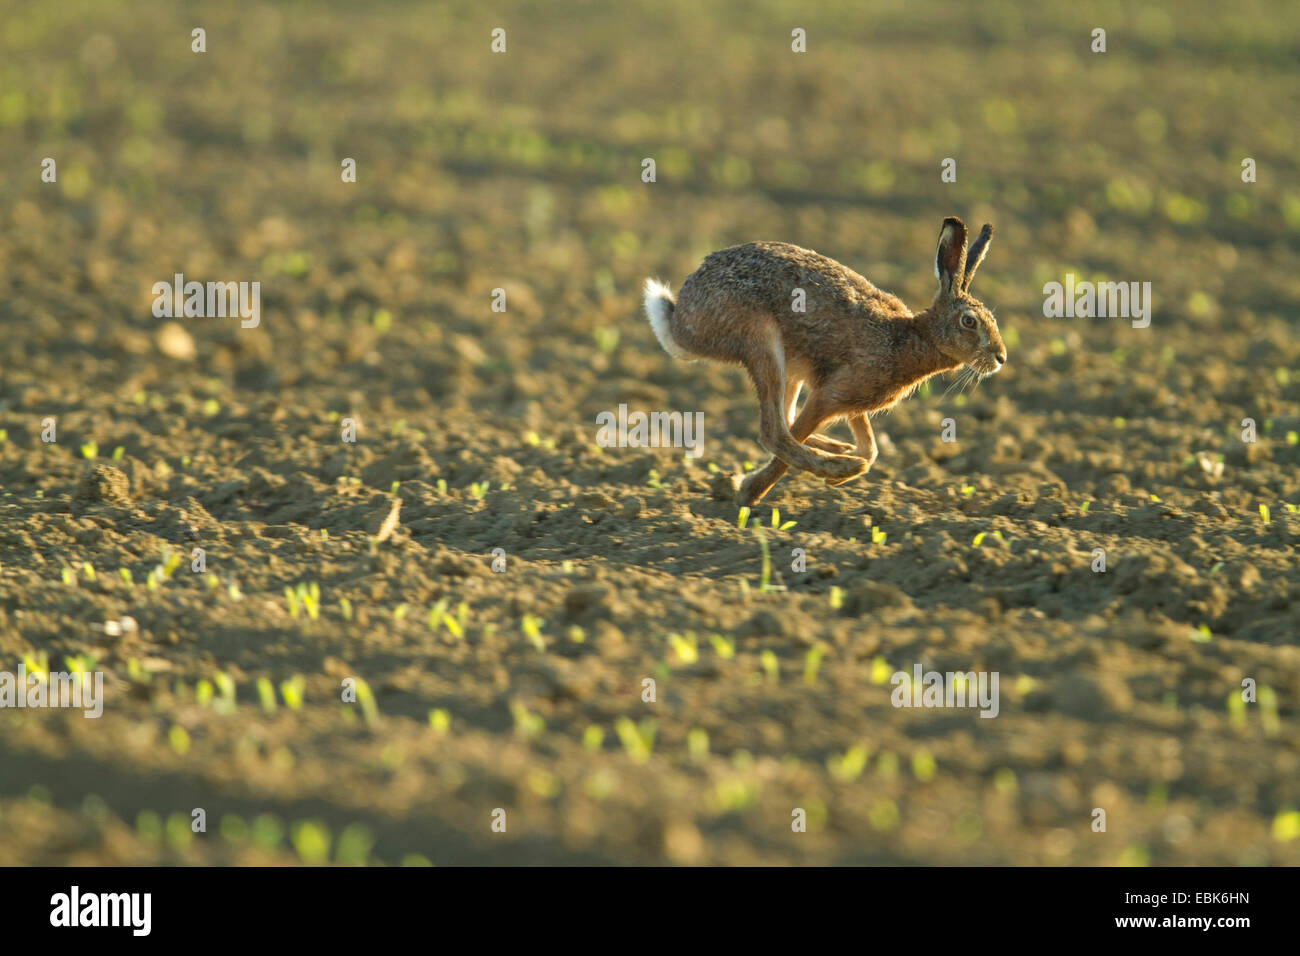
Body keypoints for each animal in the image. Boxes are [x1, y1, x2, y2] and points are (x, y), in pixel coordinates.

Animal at [644, 216, 1005, 506]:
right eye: (969, 322)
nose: (1000, 357)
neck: (911, 336)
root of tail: (680, 322)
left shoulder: (853, 404)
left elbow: (871, 448)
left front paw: (841, 471)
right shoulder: (832, 394)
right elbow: (812, 442)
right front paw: (750, 491)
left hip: (789, 369)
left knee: (786, 420)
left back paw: (837, 450)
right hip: (762, 341)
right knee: (774, 432)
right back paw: (821, 468)